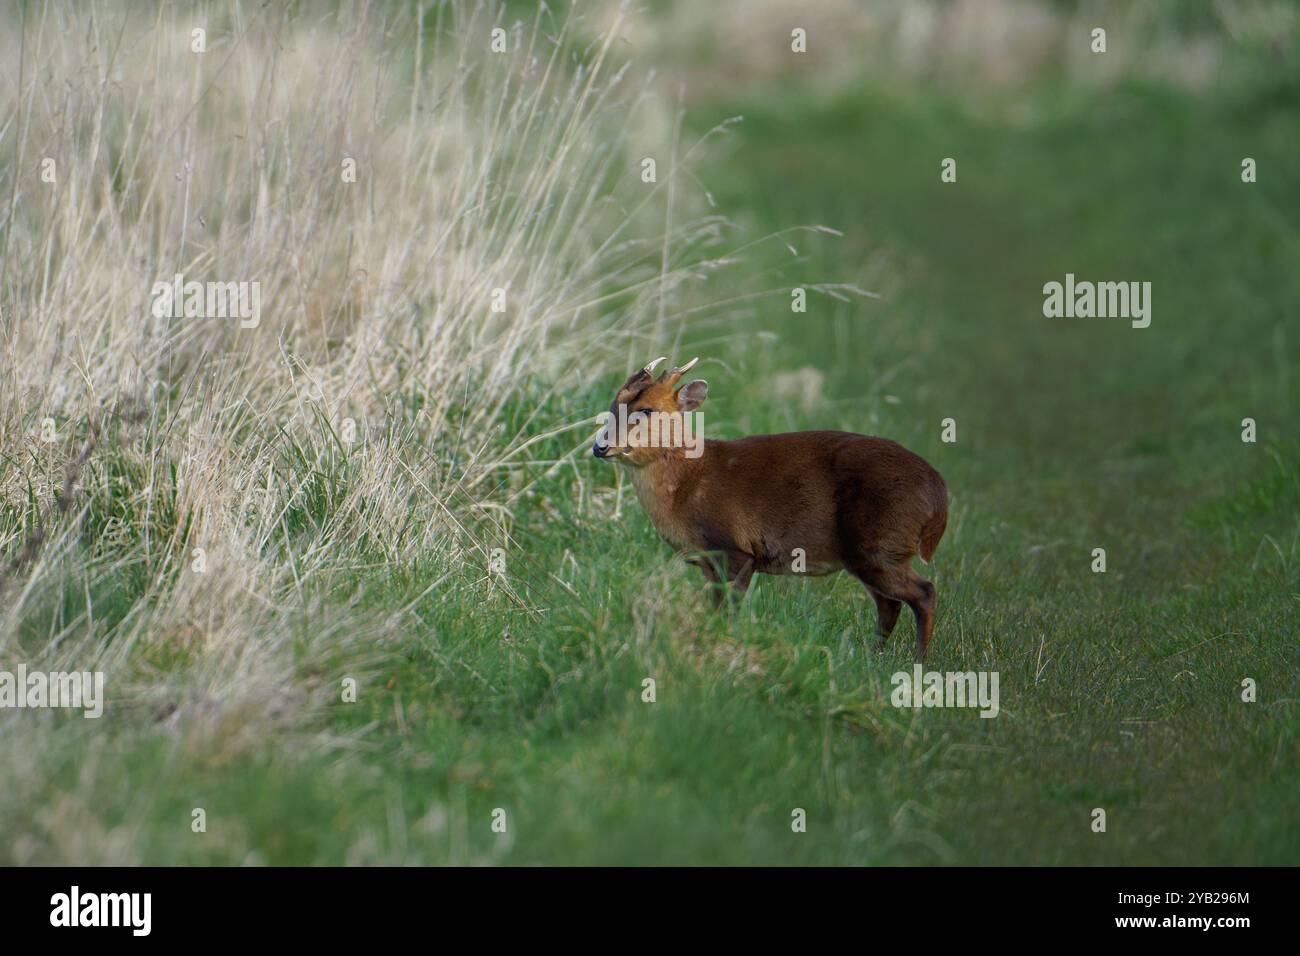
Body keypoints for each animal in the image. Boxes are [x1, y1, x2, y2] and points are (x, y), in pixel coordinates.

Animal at [593, 357, 949, 659]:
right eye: (613, 405)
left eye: (646, 410)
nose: (599, 446)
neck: (687, 485)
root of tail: (938, 496)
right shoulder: (709, 561)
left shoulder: (735, 549)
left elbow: (730, 612)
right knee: (890, 606)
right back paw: (873, 658)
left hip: (880, 542)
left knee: (924, 593)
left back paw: (919, 661)